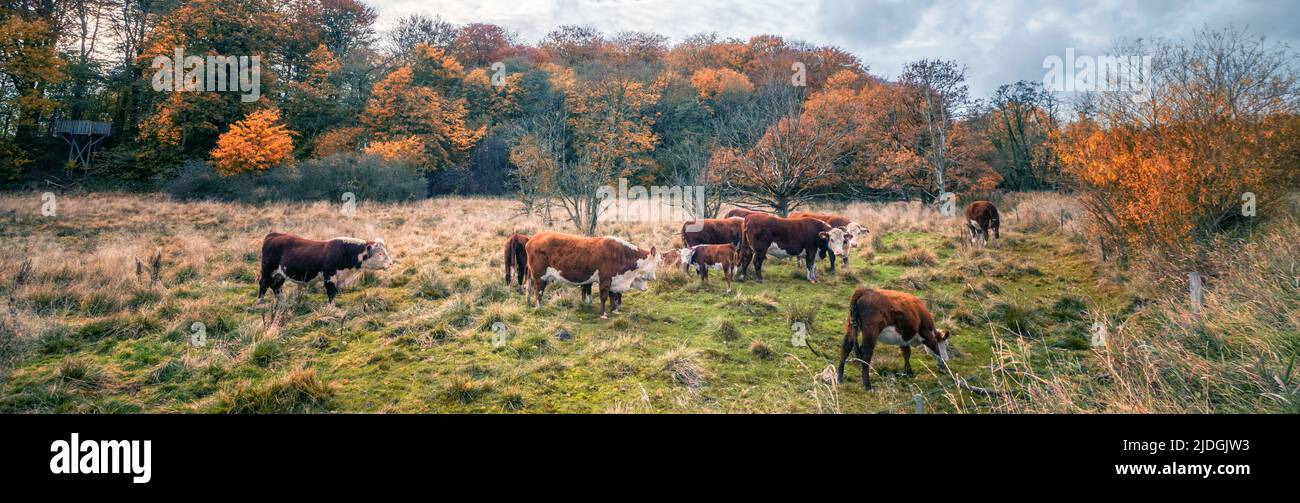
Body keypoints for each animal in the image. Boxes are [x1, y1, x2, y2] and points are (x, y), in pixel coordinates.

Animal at [257, 232, 393, 305]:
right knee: (264, 284)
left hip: (280, 274)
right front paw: (331, 307)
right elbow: (331, 293)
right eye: (380, 253)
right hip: (267, 270)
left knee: (276, 287)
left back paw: (283, 302)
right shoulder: (329, 276)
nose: (391, 263)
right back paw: (260, 303)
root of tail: (274, 234)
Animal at [525, 232, 658, 319]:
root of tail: (533, 238)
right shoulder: (605, 280)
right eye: (657, 262)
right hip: (540, 276)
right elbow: (604, 297)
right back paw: (539, 307)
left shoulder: (613, 280)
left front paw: (614, 310)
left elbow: (612, 296)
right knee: (538, 291)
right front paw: (603, 314)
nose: (654, 278)